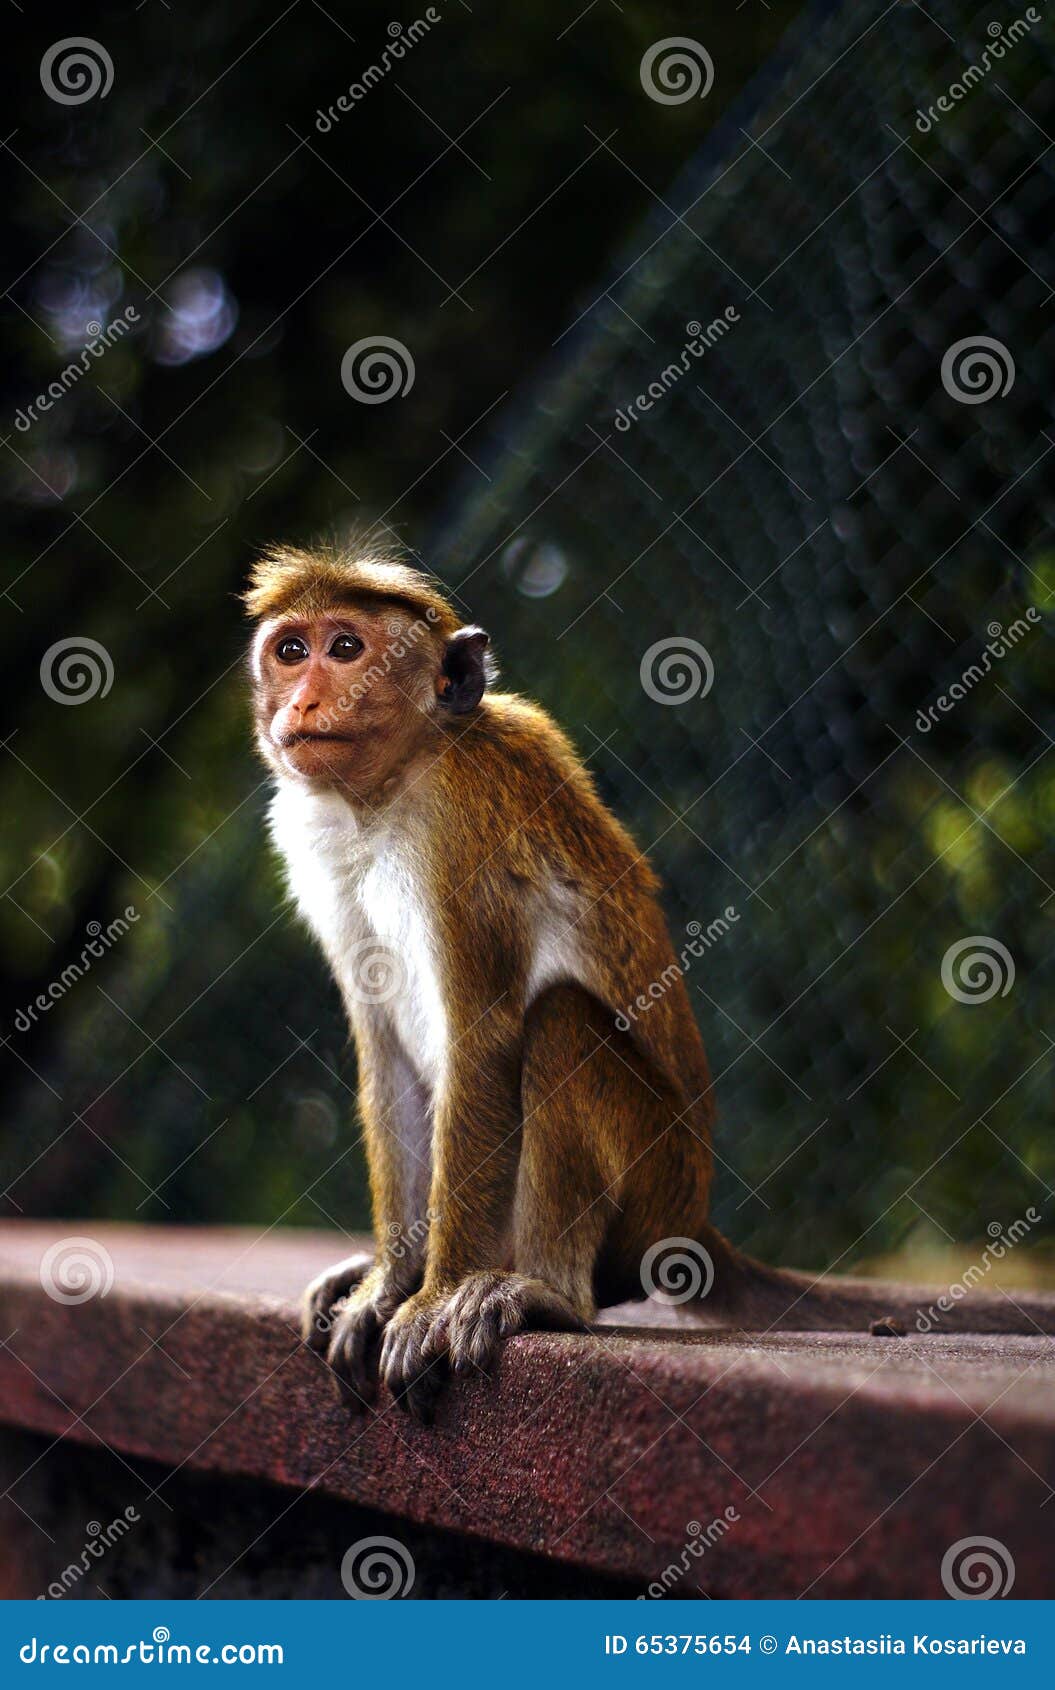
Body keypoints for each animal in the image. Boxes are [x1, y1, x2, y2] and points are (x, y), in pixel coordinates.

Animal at [246, 536, 1055, 1421]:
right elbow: (385, 1051)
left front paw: (428, 1298)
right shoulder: (308, 840)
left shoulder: (460, 821)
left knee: (559, 1023)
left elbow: (484, 1040)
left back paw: (545, 1294)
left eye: (344, 647)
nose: (303, 701)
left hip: (652, 1191)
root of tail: (694, 1221)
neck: (383, 795)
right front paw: (390, 1283)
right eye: (291, 651)